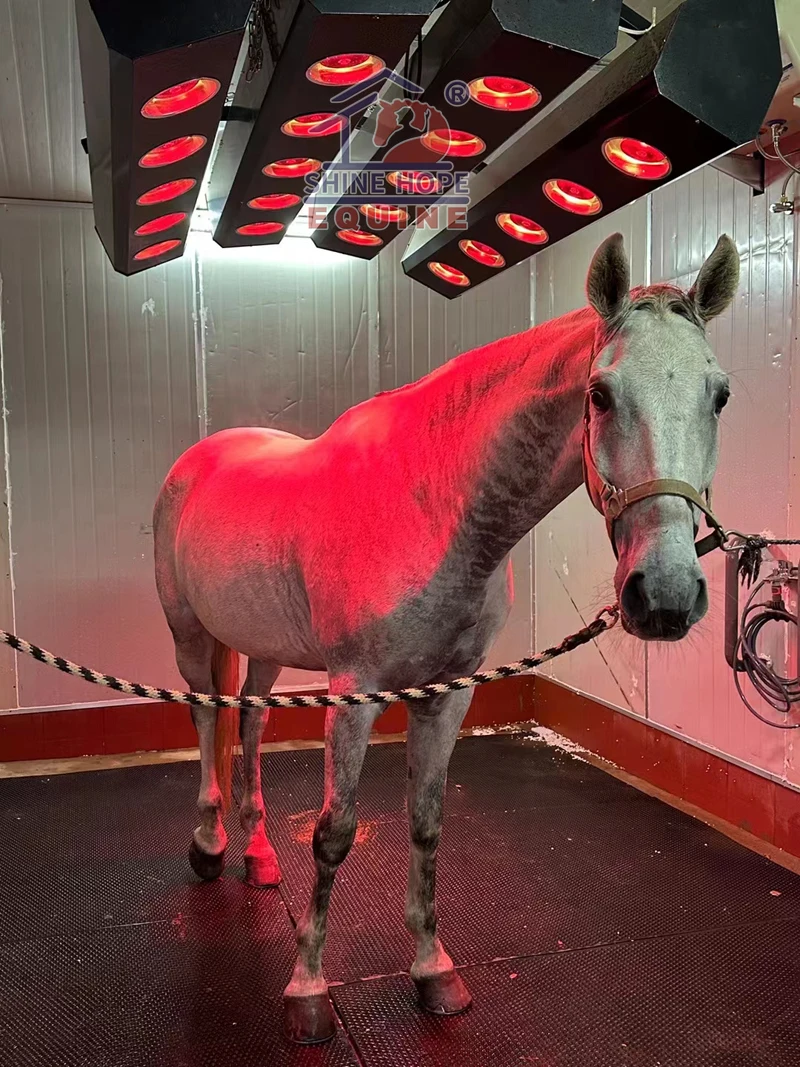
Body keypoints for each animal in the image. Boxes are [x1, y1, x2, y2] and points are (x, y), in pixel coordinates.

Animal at [153, 231, 739, 1043]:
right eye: (599, 394)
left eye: (719, 395)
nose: (665, 595)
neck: (434, 504)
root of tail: (196, 461)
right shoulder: (356, 694)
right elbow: (335, 833)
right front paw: (308, 987)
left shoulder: (447, 695)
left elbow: (427, 825)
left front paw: (433, 970)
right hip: (188, 635)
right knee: (207, 718)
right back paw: (209, 846)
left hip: (263, 649)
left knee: (250, 724)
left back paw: (260, 853)